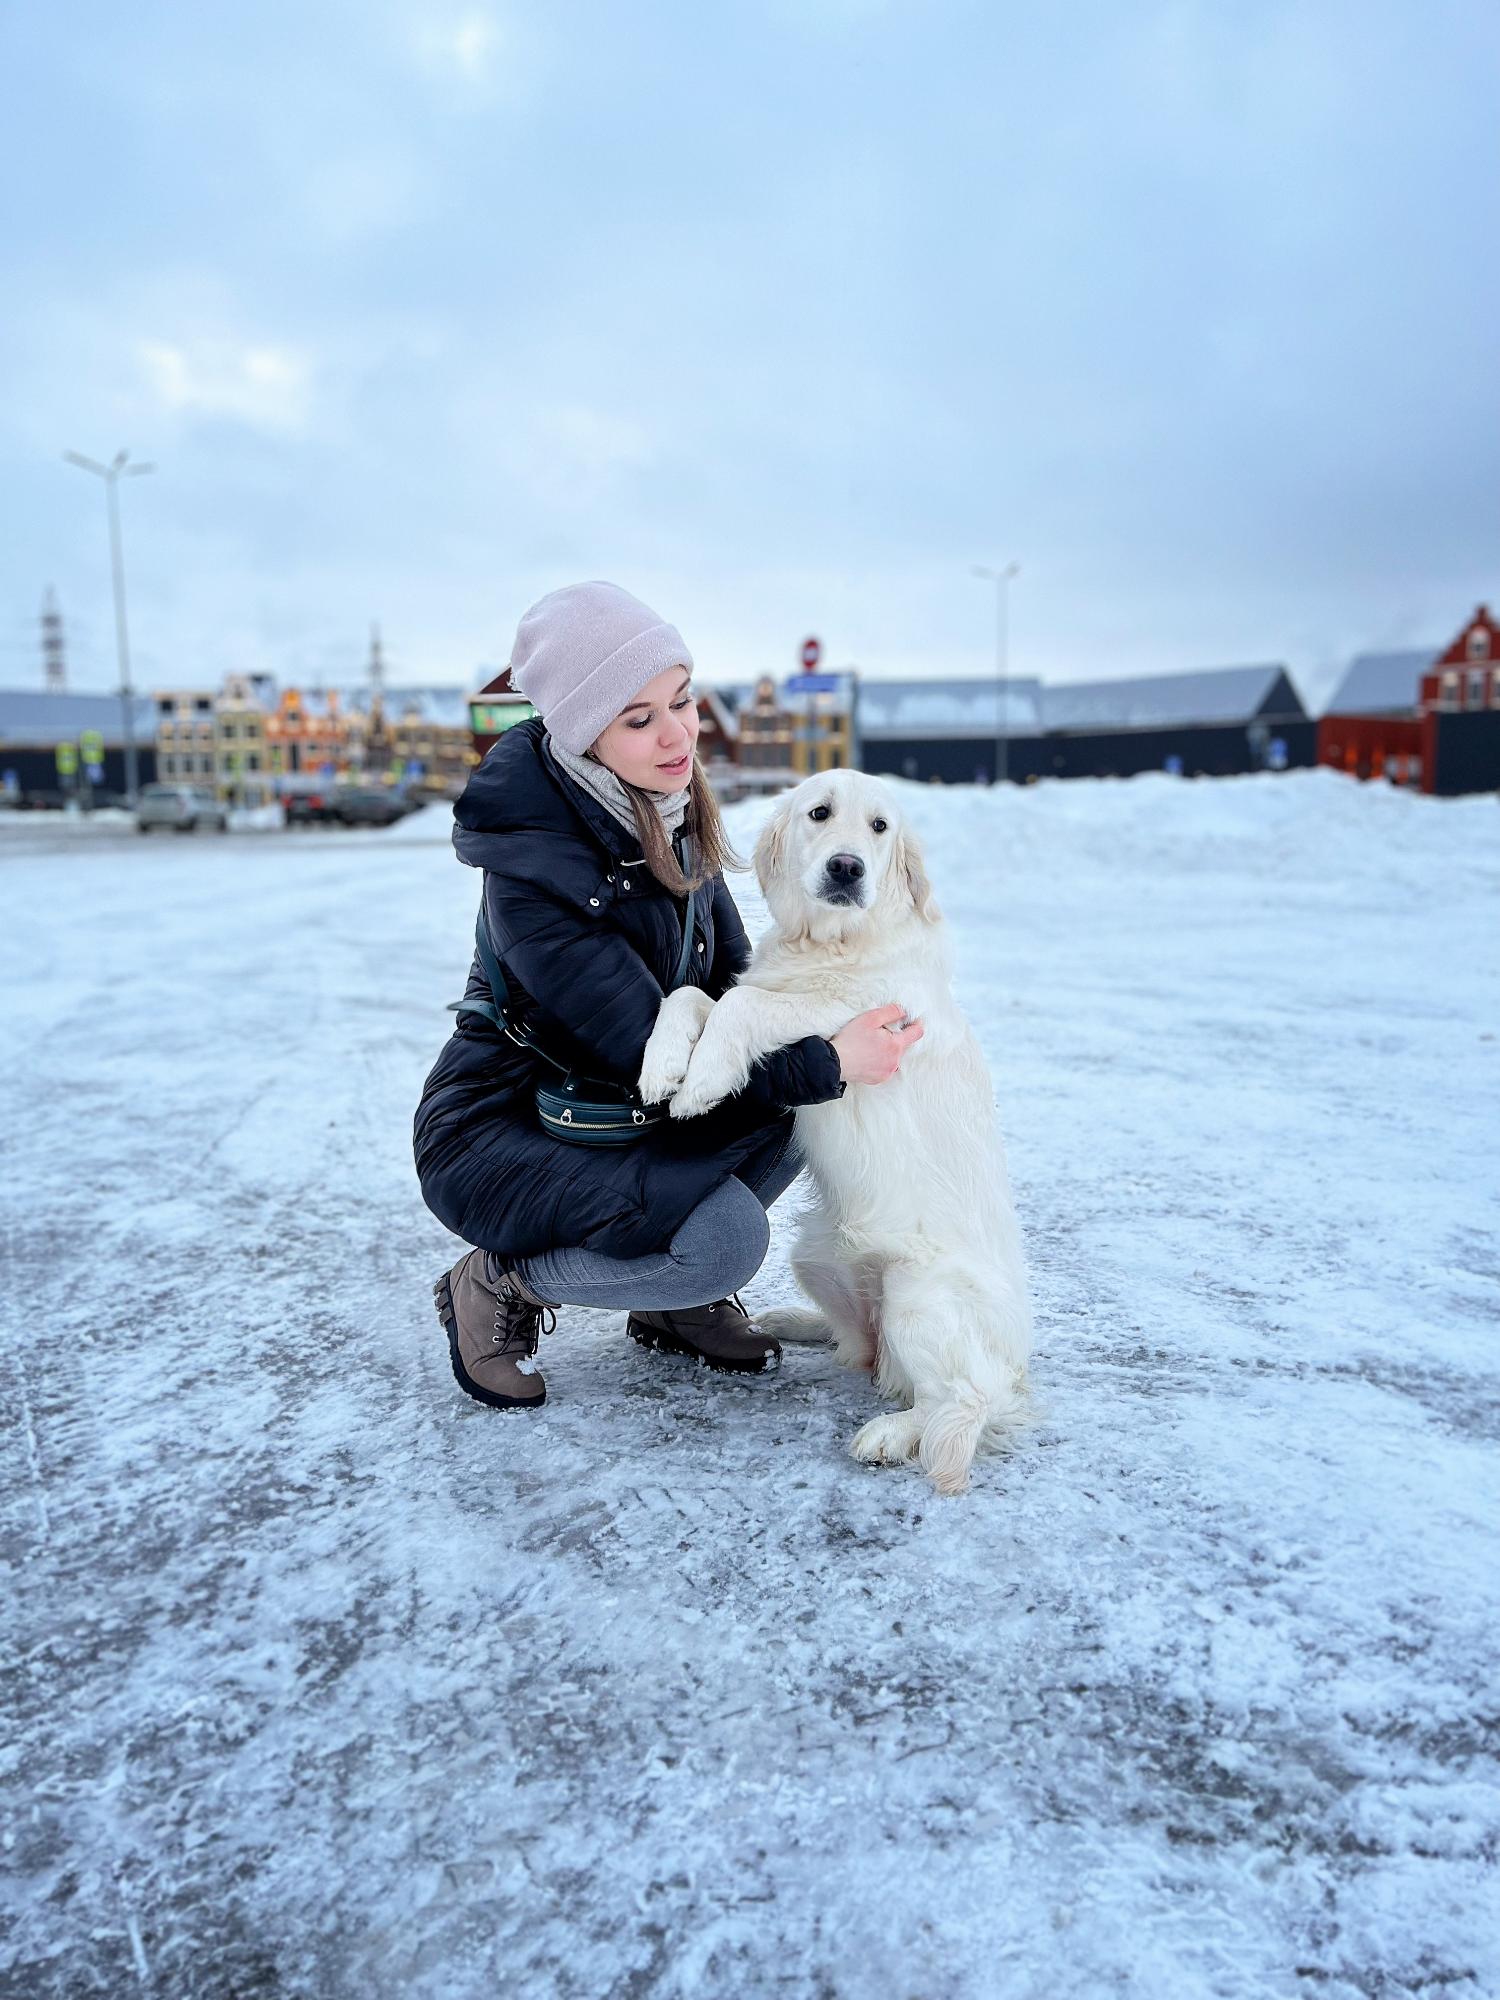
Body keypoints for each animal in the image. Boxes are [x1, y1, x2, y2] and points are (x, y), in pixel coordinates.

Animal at [640, 772, 1040, 1496]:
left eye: (879, 827)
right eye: (819, 814)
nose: (848, 867)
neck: (835, 942)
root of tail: (1016, 1371)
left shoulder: (851, 1010)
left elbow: (742, 1003)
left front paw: (704, 1078)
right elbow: (691, 995)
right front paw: (662, 1065)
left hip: (917, 1296)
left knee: (962, 1402)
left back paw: (892, 1435)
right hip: (816, 1258)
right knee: (864, 1354)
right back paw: (796, 1325)